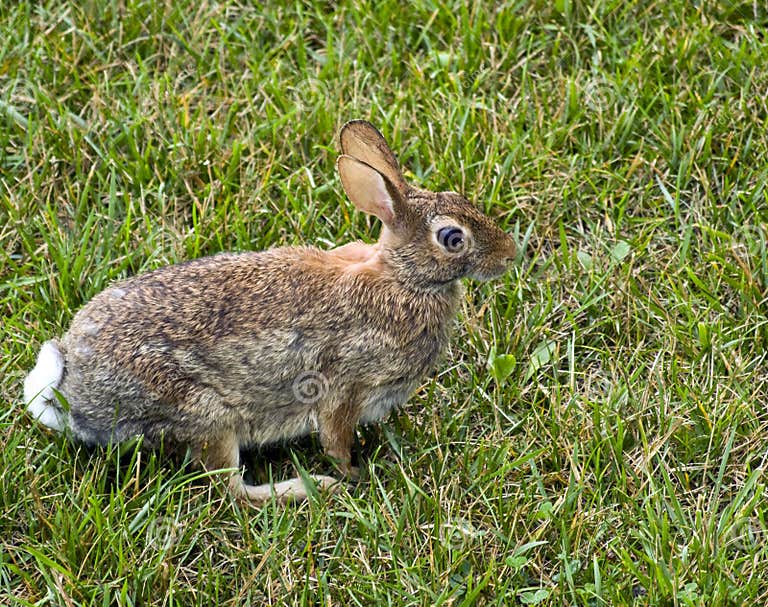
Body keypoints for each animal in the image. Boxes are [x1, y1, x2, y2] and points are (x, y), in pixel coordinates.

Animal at [24, 120, 517, 504]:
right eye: (453, 239)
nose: (511, 255)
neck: (402, 278)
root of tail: (75, 397)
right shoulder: (343, 386)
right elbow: (336, 438)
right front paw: (353, 476)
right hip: (206, 413)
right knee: (231, 492)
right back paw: (307, 488)